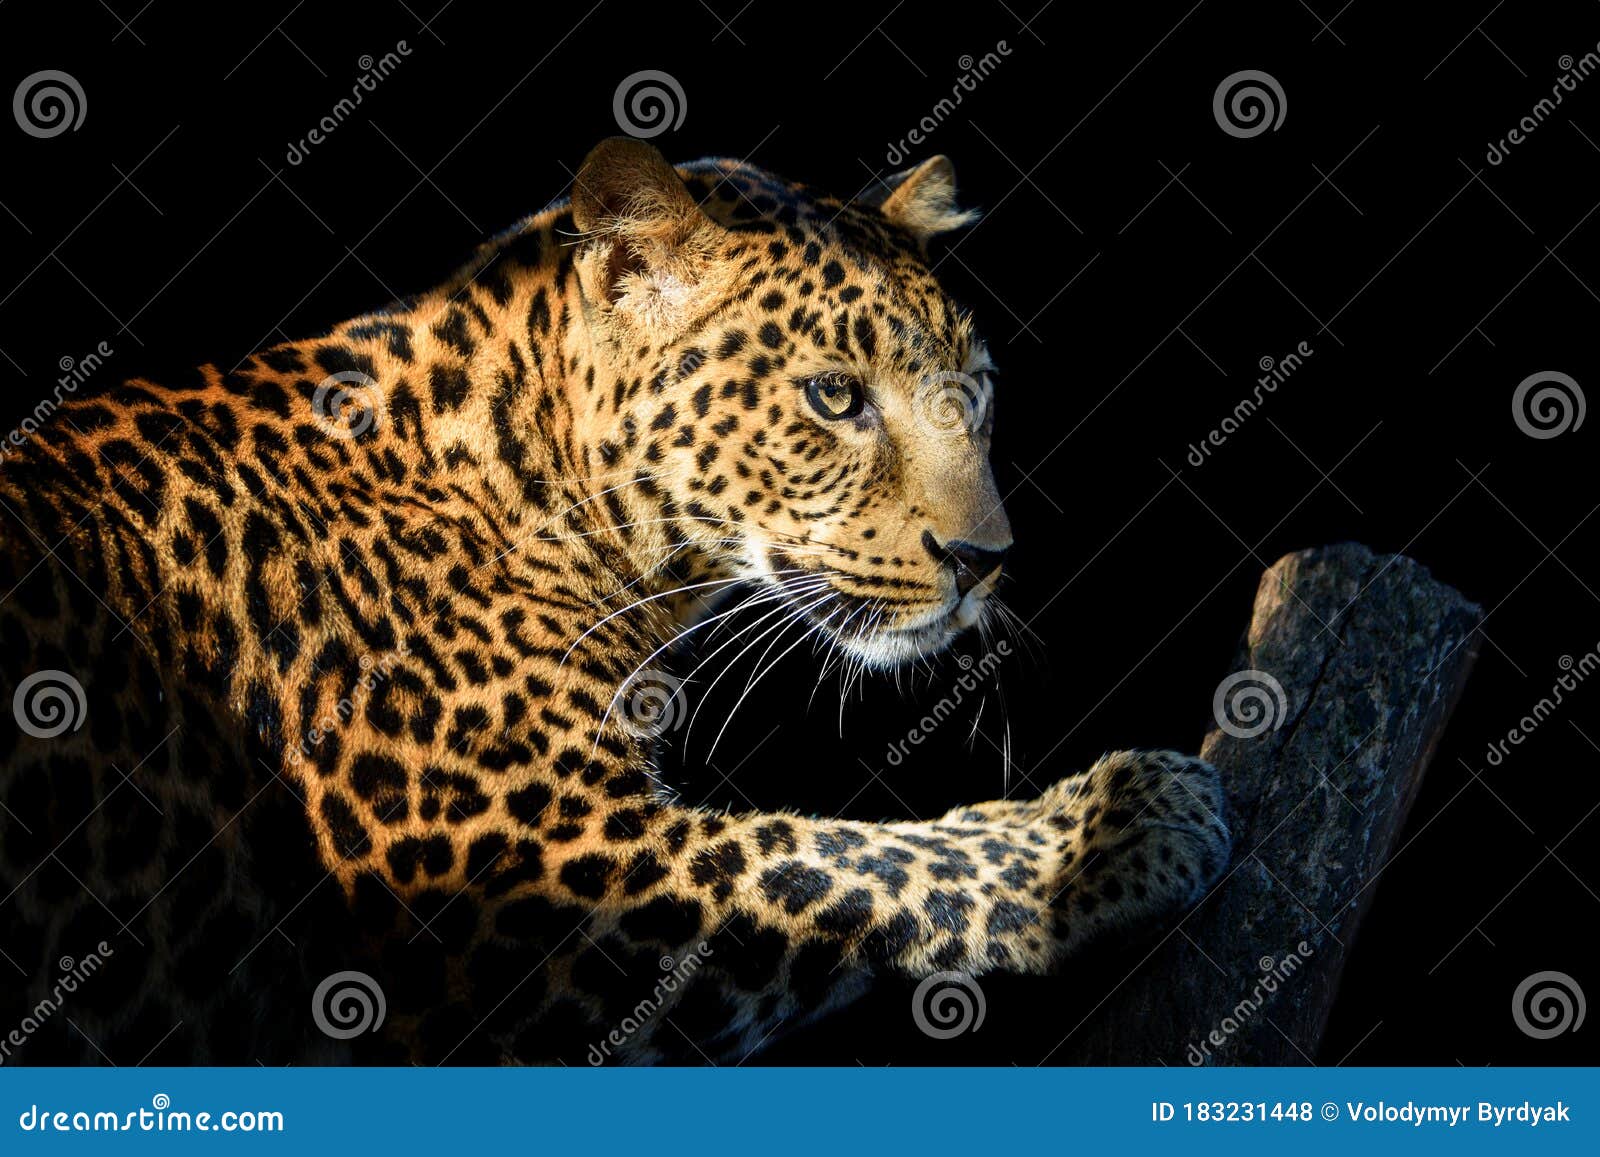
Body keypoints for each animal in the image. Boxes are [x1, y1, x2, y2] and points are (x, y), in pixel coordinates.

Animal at [0, 138, 1231, 1066]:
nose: (984, 557)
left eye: (971, 395)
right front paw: (1119, 820)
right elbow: (836, 864)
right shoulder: (524, 887)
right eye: (836, 397)